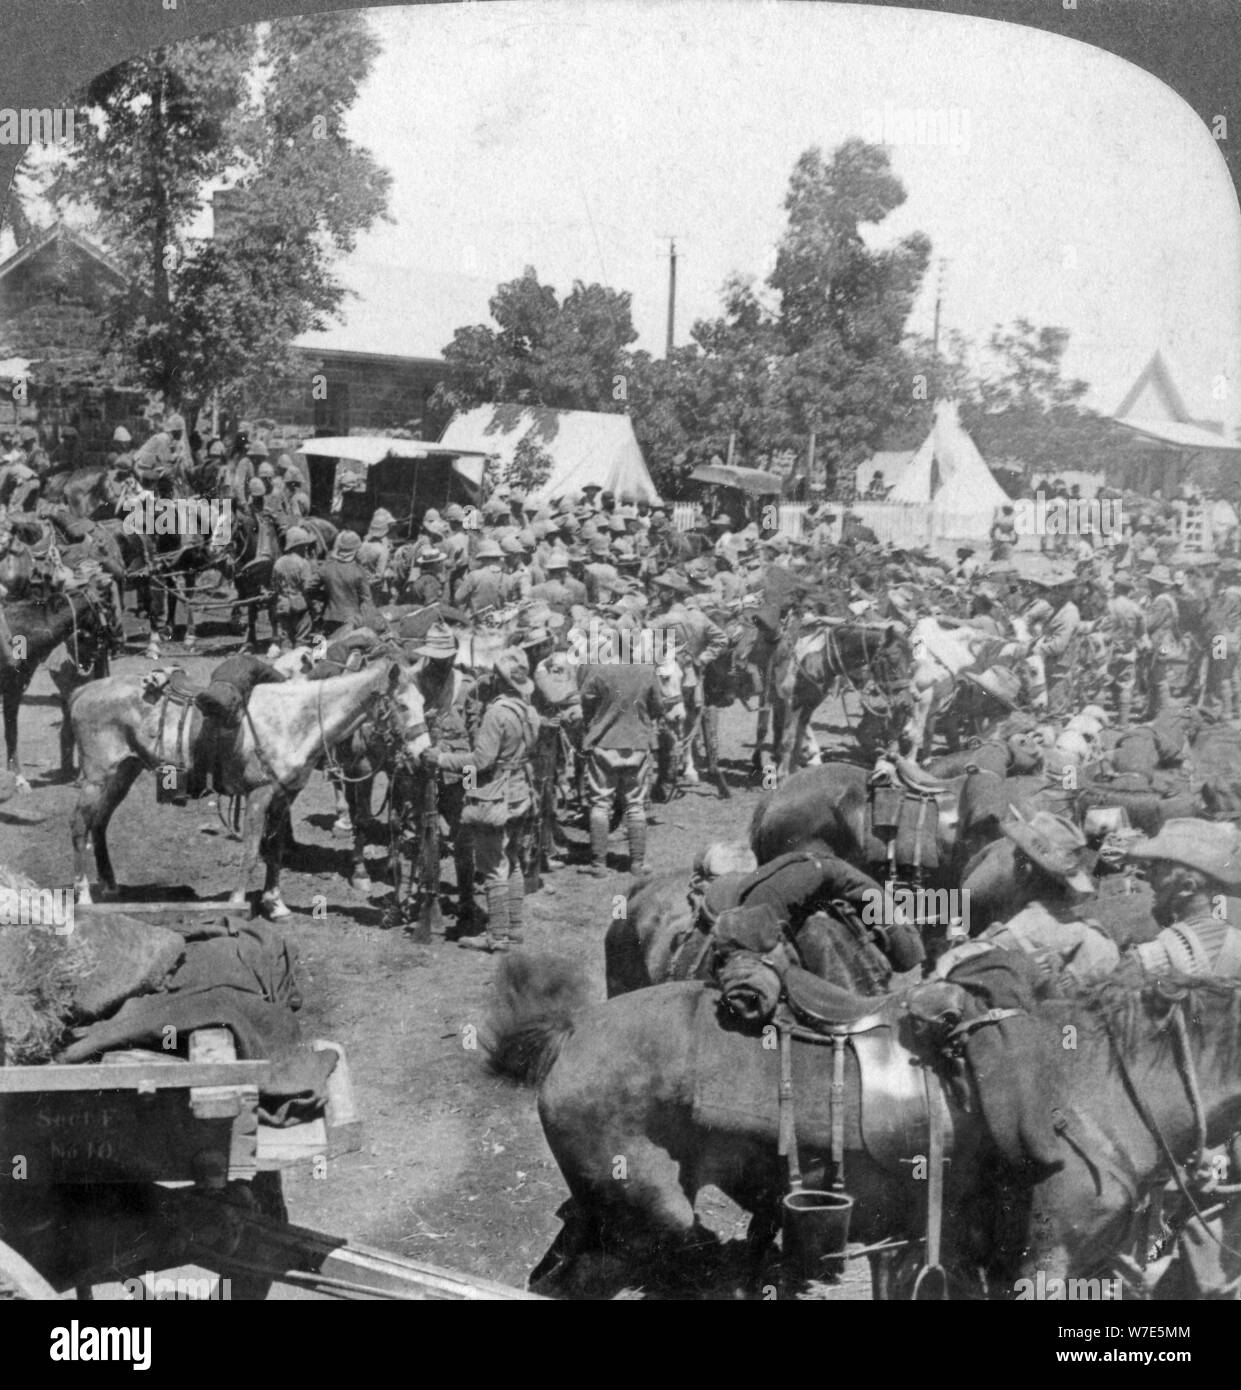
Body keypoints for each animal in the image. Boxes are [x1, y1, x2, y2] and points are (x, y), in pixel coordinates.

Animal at [70, 656, 419, 917]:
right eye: (401, 705)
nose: (423, 752)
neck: (293, 720)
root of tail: (83, 690)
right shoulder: (258, 794)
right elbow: (252, 850)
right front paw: (237, 903)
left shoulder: (284, 797)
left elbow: (275, 850)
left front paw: (276, 904)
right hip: (96, 778)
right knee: (79, 826)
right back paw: (84, 896)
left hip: (123, 773)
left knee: (99, 823)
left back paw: (110, 885)